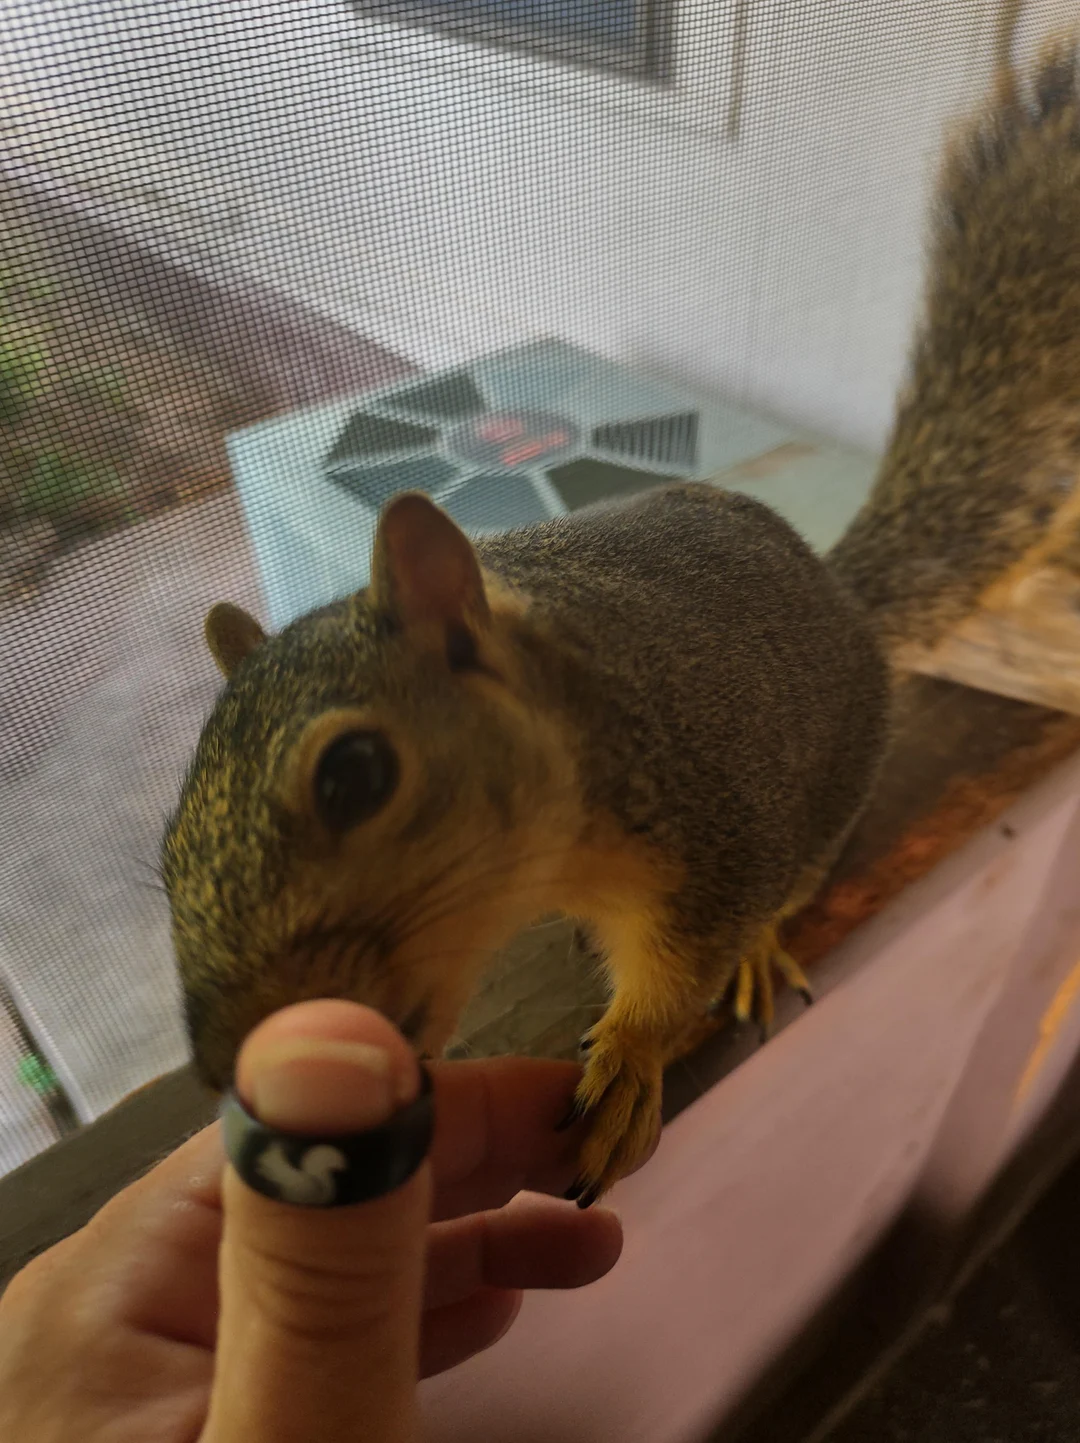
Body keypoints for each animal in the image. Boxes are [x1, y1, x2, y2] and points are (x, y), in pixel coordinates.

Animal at [162, 41, 1080, 1205]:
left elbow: (675, 976)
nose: (225, 1060)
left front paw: (630, 1065)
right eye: (168, 843)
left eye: (355, 775)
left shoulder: (712, 831)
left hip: (826, 802)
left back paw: (762, 950)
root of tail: (833, 590)